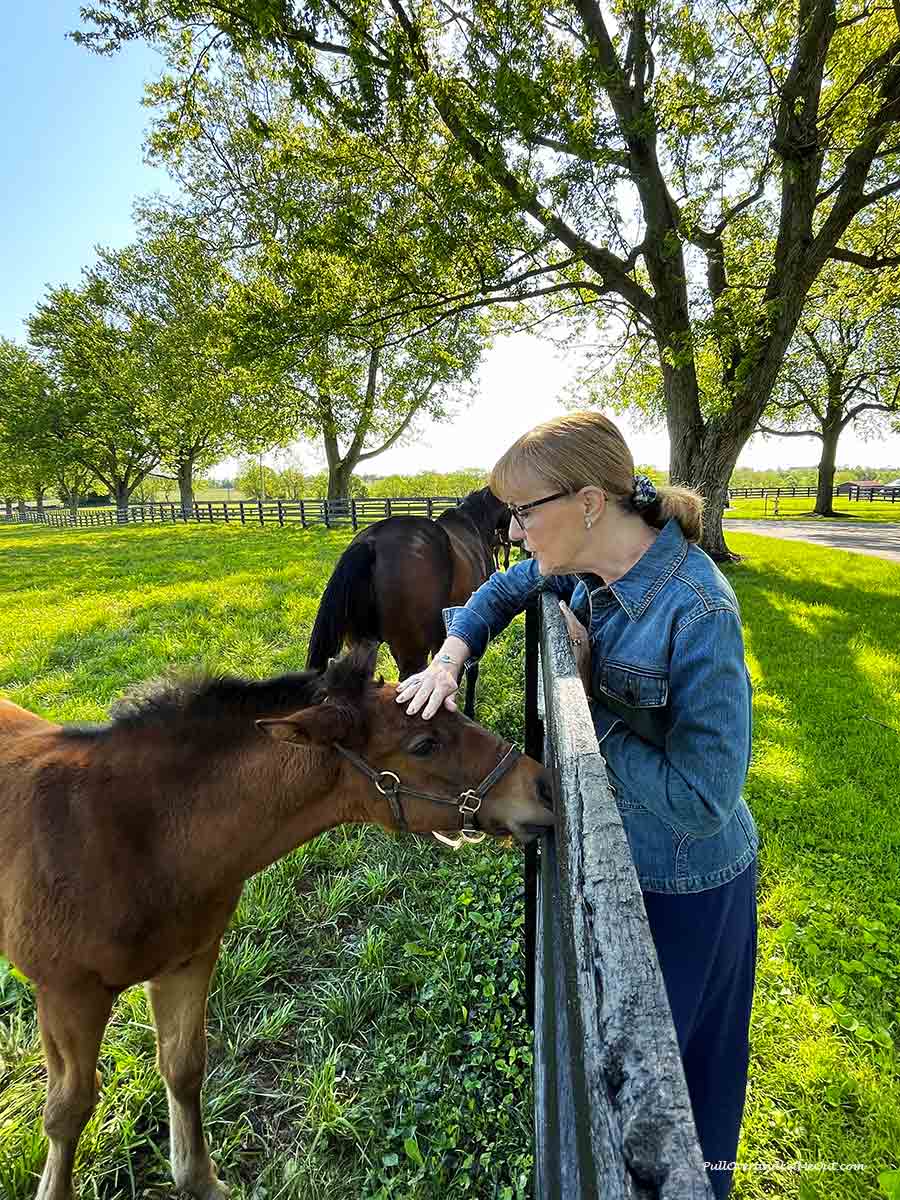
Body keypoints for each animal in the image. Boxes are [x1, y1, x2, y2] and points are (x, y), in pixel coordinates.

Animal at [0, 646, 553, 1200]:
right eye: (424, 744)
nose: (544, 786)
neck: (143, 838)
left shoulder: (189, 959)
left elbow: (183, 1066)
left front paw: (199, 1179)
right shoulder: (66, 993)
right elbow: (67, 1112)